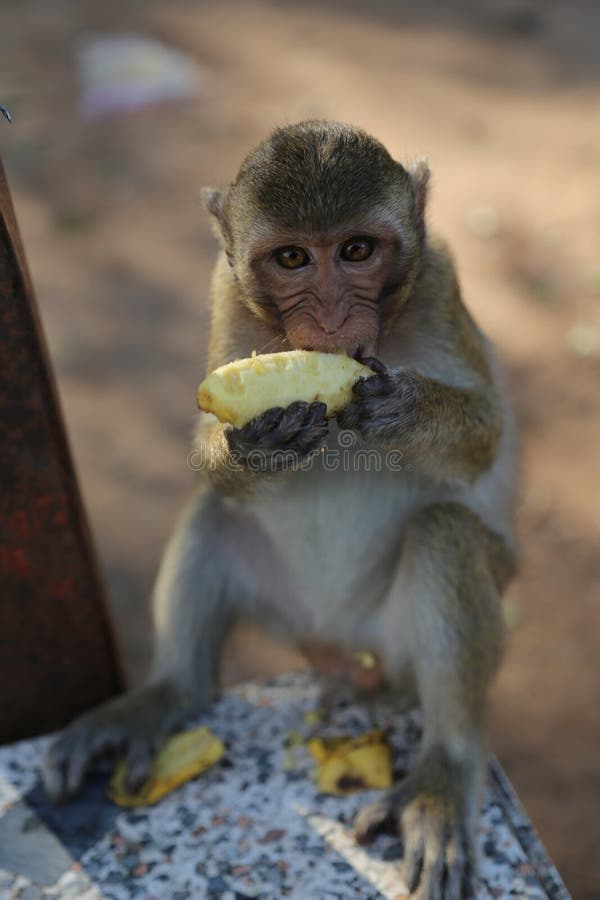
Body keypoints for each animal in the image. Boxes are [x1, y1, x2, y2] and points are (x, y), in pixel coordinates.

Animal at [43, 121, 518, 900]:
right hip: (287, 604)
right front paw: (257, 445)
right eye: (292, 258)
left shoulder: (440, 282)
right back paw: (164, 694)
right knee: (215, 511)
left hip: (394, 638)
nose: (329, 316)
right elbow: (210, 449)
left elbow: (484, 438)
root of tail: (339, 640)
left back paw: (442, 773)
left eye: (356, 251)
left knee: (446, 530)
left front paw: (405, 407)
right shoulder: (224, 291)